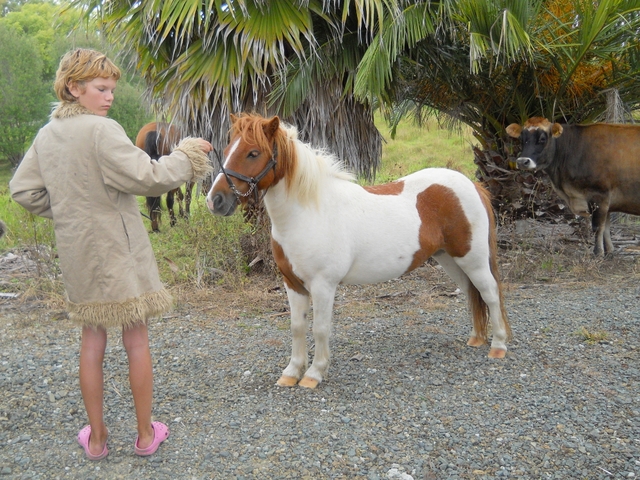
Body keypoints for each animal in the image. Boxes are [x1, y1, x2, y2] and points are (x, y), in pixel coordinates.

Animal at [206, 113, 512, 389]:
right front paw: (291, 373)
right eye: (227, 150)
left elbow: (320, 329)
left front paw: (314, 374)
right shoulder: (293, 284)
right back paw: (476, 338)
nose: (214, 201)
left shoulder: (323, 286)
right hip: (449, 259)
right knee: (472, 292)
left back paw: (497, 345)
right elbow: (296, 328)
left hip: (472, 259)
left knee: (489, 293)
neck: (308, 212)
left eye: (253, 153)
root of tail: (472, 185)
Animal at [505, 117, 640, 255]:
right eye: (521, 139)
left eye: (542, 138)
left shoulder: (598, 194)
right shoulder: (605, 202)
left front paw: (598, 252)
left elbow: (598, 227)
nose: (522, 161)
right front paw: (609, 251)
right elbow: (606, 227)